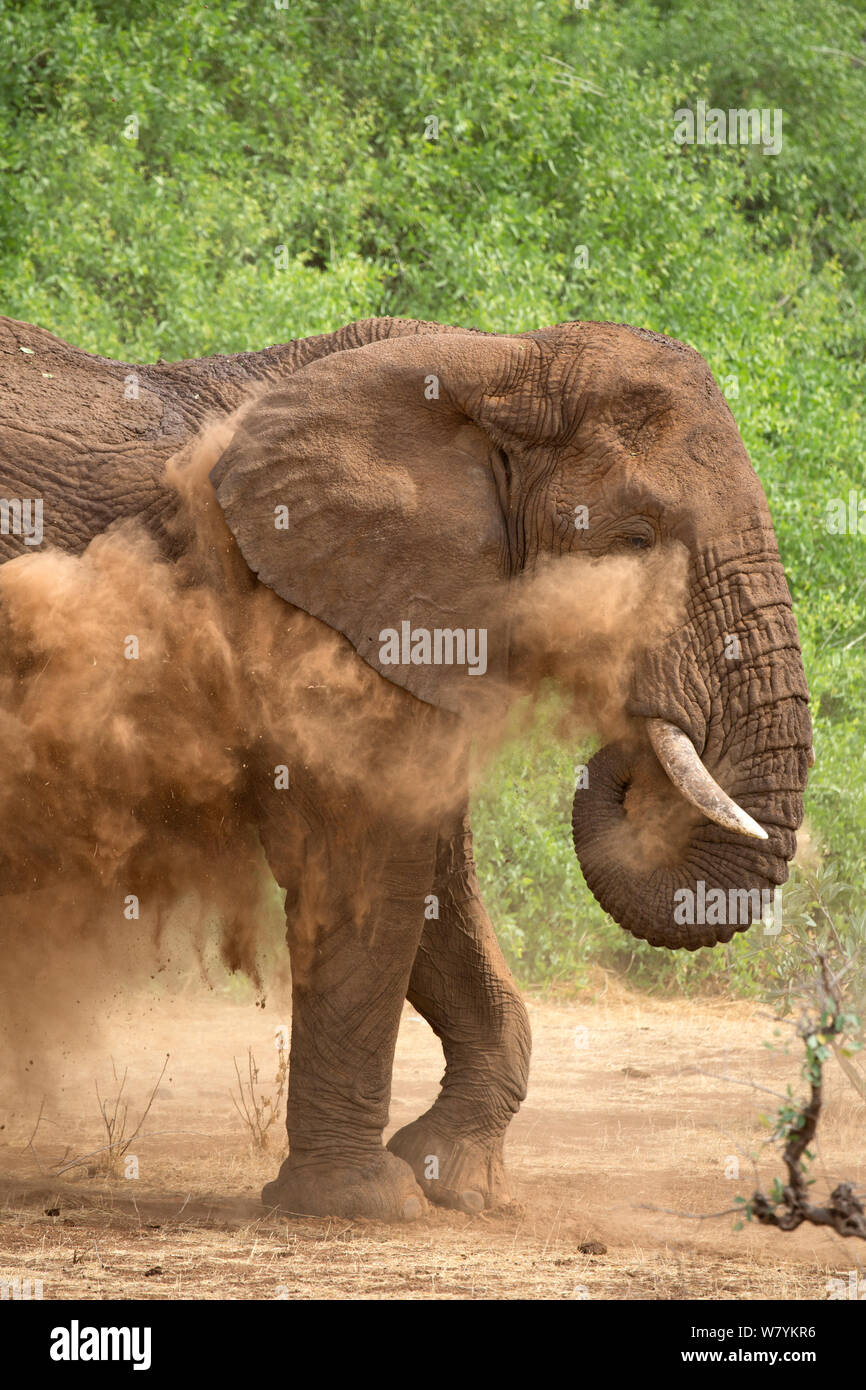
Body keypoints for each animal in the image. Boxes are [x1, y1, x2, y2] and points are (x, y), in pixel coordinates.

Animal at [0, 312, 812, 1220]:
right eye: (635, 542)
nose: (628, 761)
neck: (499, 359)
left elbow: (434, 876)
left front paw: (454, 1179)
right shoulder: (310, 614)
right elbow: (368, 860)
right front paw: (362, 1203)